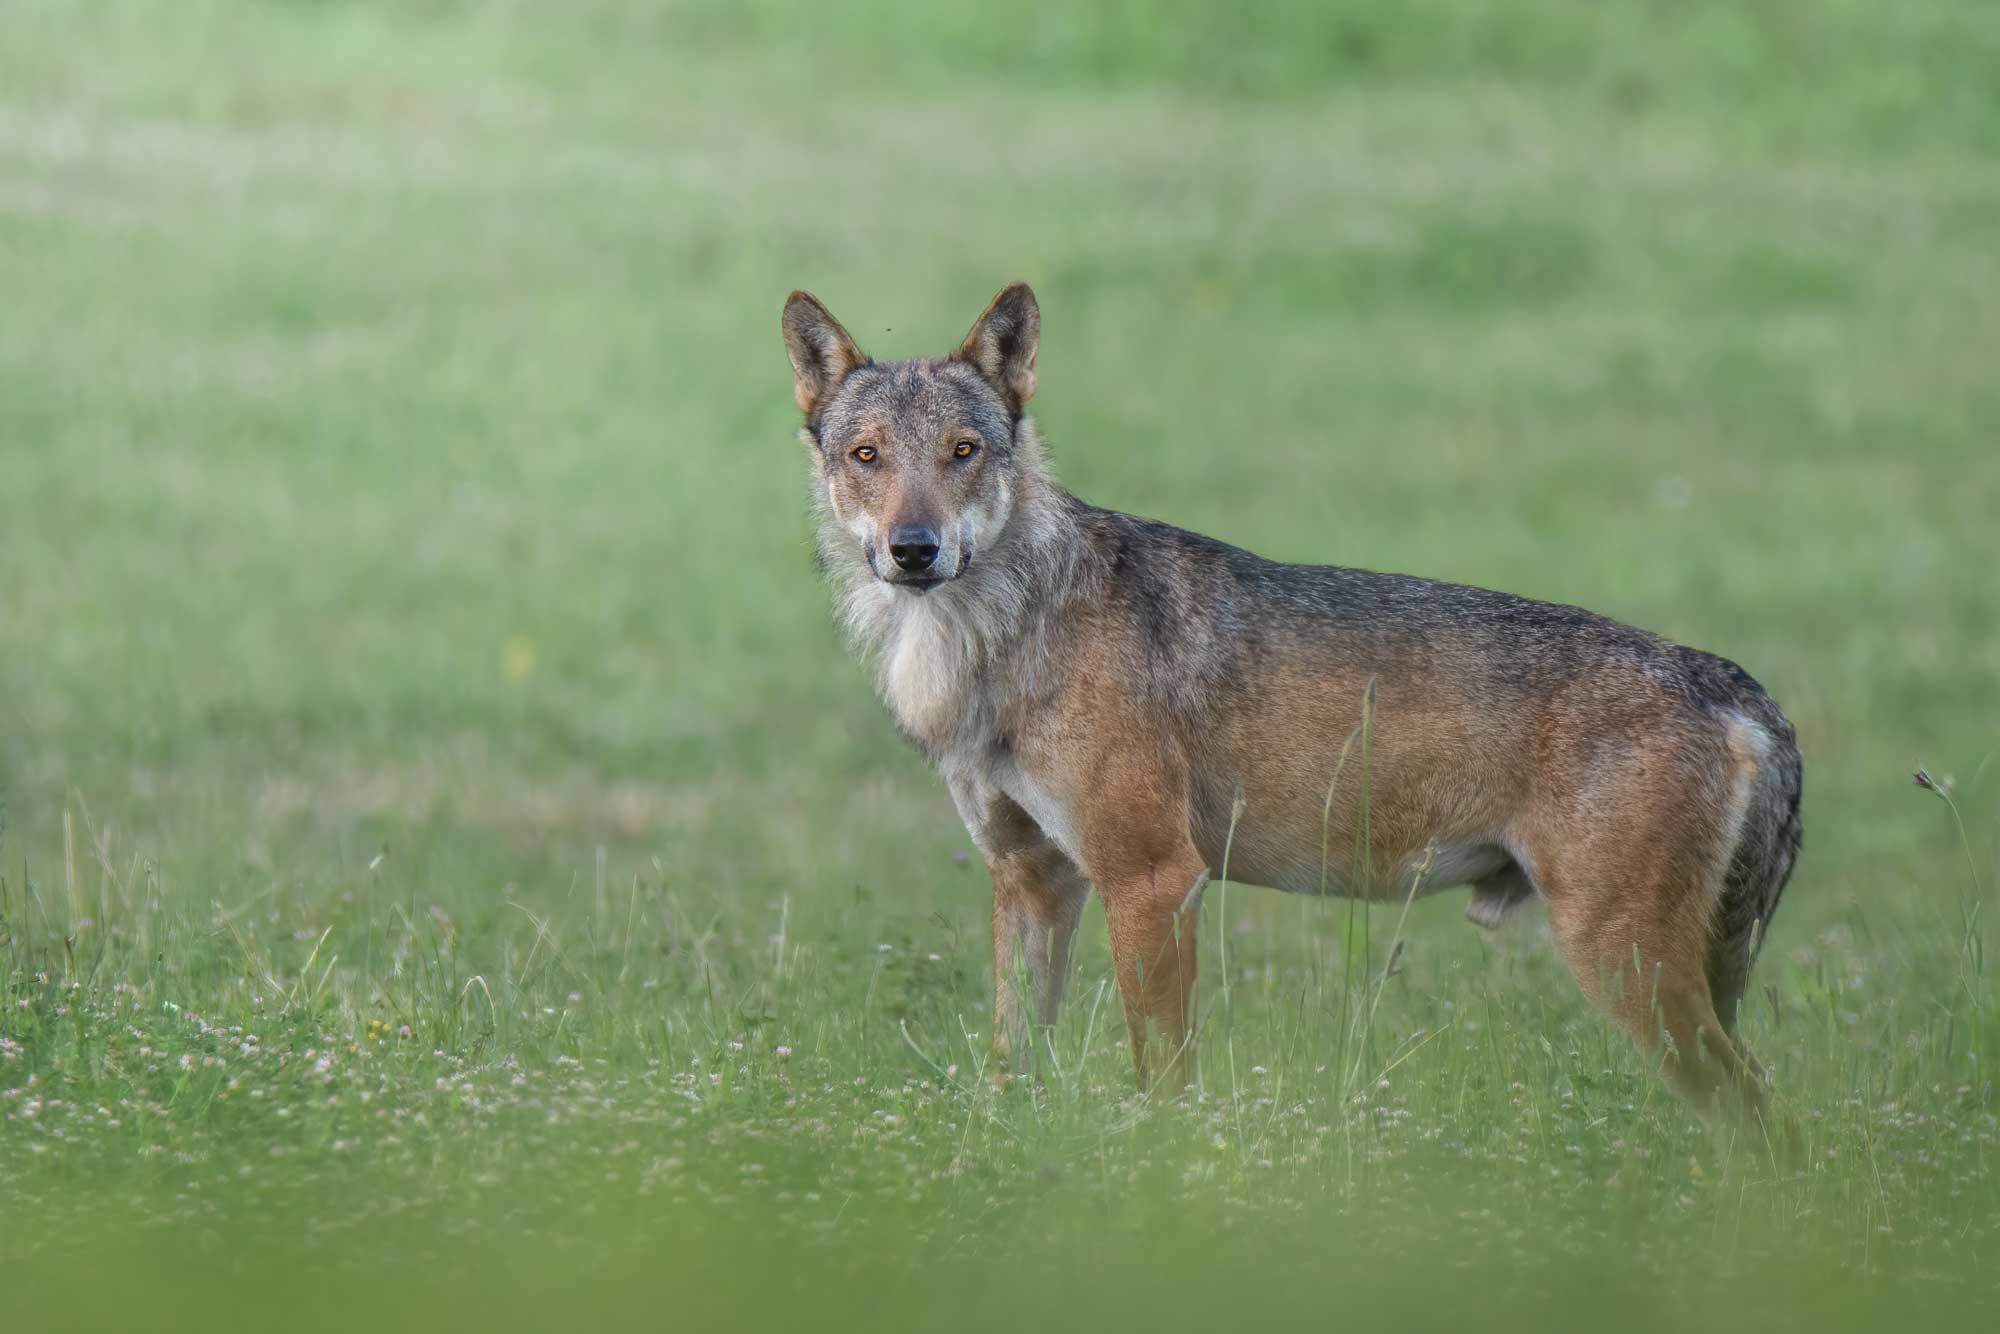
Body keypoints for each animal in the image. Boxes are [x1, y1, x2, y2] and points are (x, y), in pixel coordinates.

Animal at [782, 282, 1802, 1121]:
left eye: (963, 452)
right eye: (868, 456)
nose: (915, 550)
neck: (999, 638)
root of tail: (1732, 684)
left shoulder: (1154, 882)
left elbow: (1163, 1086)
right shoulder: (1032, 881)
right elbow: (1010, 1072)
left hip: (1626, 967)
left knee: (1769, 1125)